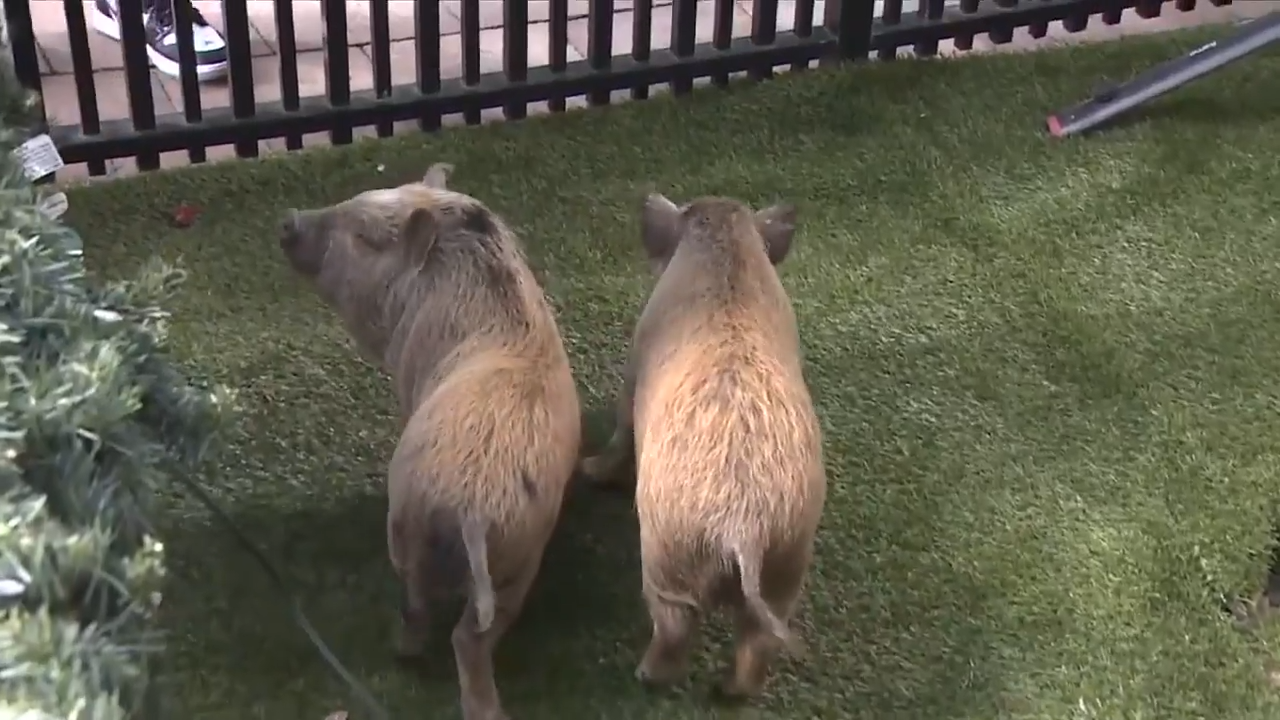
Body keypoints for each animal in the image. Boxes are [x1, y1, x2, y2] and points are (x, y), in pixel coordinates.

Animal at [278, 163, 582, 720]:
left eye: (364, 234)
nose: (288, 219)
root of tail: (471, 508)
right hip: (517, 557)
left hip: (408, 529)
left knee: (426, 613)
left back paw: (410, 658)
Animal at [578, 193, 826, 700]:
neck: (725, 244)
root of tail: (744, 525)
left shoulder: (634, 368)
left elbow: (621, 430)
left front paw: (586, 468)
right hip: (787, 559)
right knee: (758, 636)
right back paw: (731, 693)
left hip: (669, 551)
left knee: (674, 623)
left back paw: (646, 675)